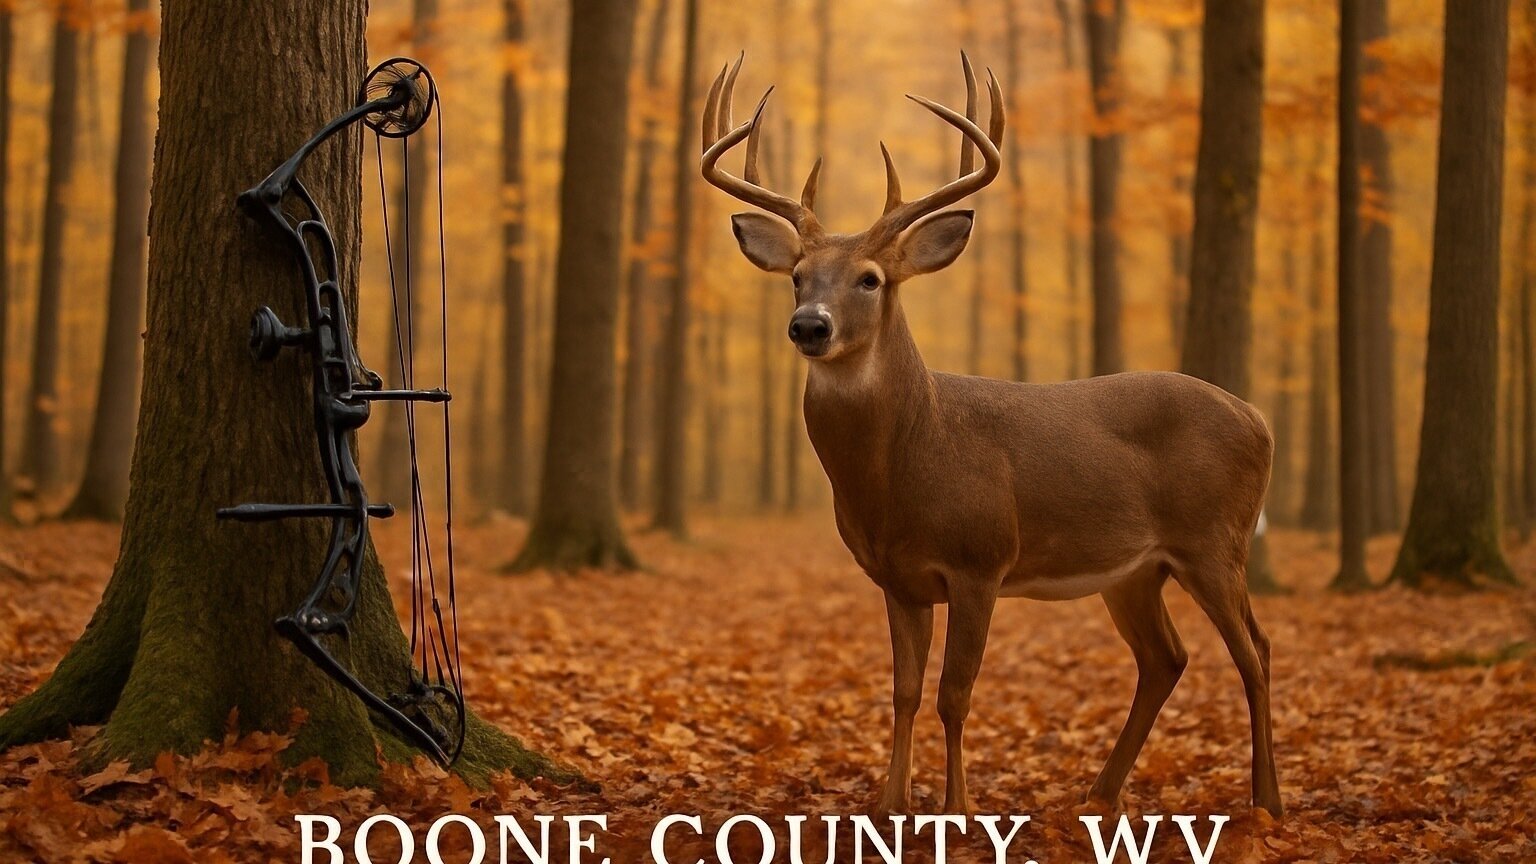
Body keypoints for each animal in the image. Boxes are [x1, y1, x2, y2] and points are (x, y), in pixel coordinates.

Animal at [698, 53, 1282, 820]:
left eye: (870, 279)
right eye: (797, 277)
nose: (809, 326)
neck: (910, 464)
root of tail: (1260, 419)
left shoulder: (981, 561)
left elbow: (955, 694)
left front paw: (959, 809)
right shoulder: (898, 578)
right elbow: (905, 692)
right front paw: (890, 806)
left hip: (1215, 540)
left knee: (1255, 650)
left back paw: (1268, 802)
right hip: (1134, 570)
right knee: (1167, 657)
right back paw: (1098, 795)